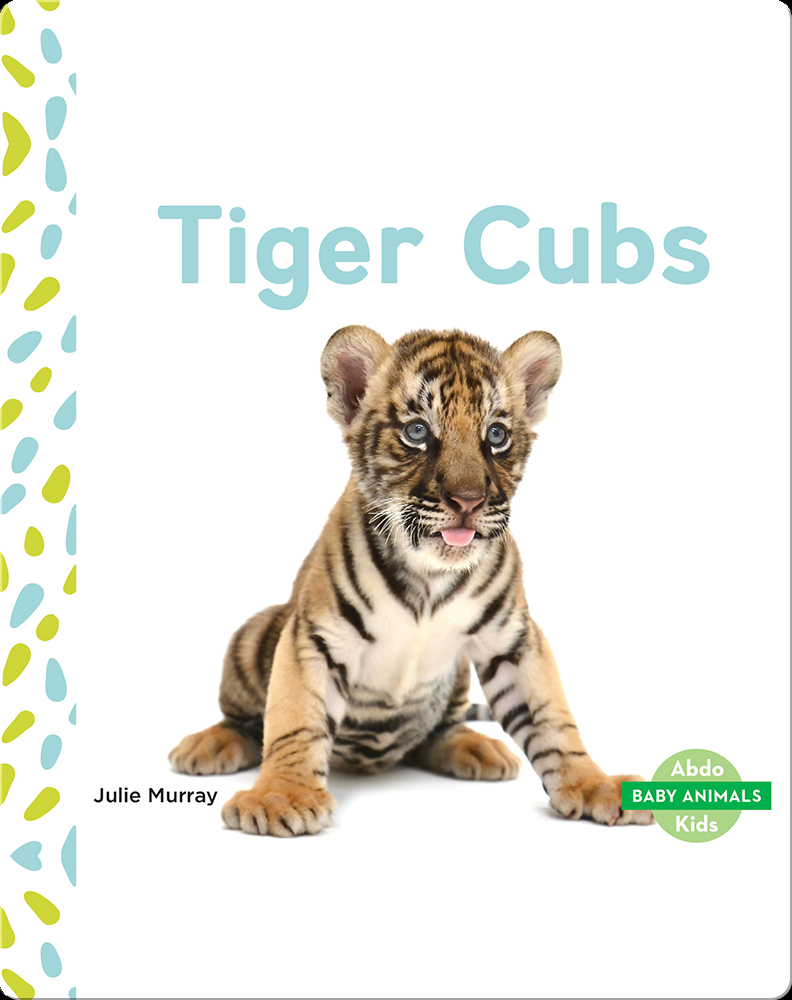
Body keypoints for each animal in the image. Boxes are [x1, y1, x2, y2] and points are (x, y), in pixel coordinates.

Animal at [169, 325, 653, 836]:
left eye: (496, 435)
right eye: (417, 431)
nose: (468, 500)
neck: (430, 575)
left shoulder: (514, 640)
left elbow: (553, 719)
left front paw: (594, 784)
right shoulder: (315, 636)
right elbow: (295, 717)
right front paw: (281, 797)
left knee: (438, 731)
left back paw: (474, 747)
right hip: (255, 632)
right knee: (242, 721)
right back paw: (207, 745)